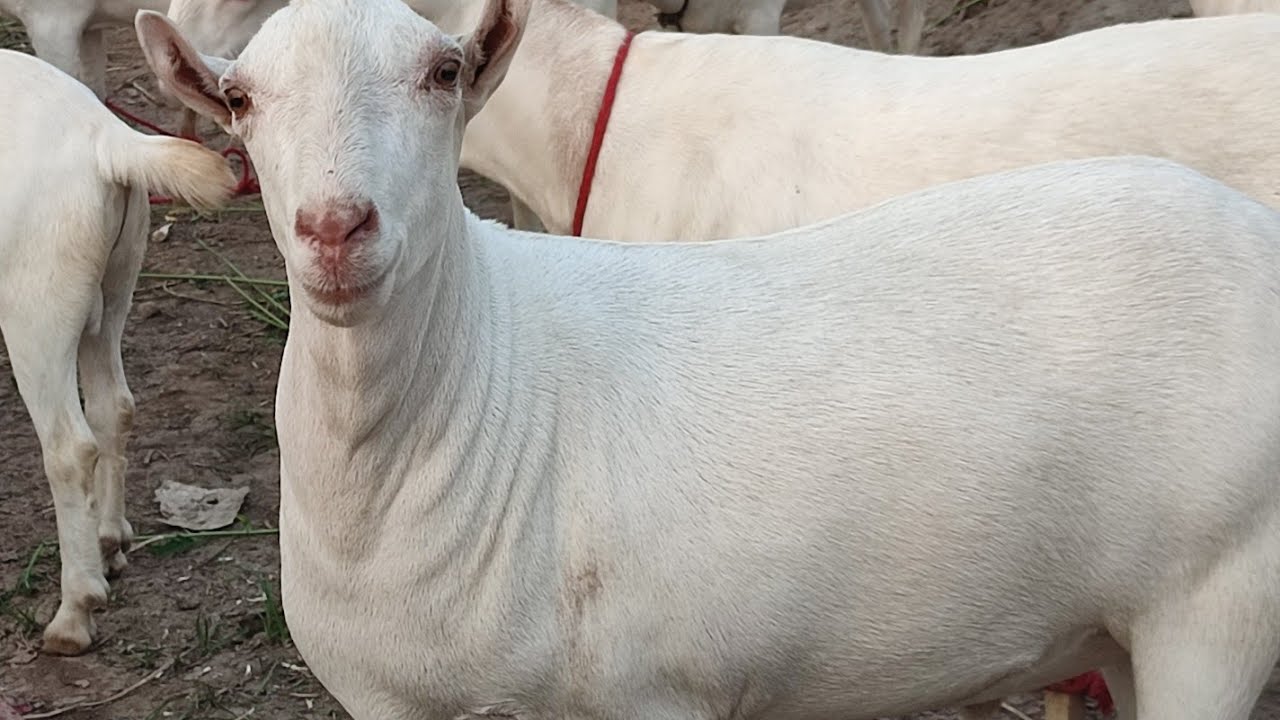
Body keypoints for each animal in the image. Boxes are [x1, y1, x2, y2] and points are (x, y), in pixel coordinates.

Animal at [0, 48, 235, 655]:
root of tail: (104, 138)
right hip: (113, 283)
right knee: (115, 407)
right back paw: (108, 541)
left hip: (35, 307)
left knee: (69, 446)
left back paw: (74, 611)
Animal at [139, 2, 1280, 720]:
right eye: (239, 100)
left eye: (444, 73)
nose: (335, 228)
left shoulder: (653, 689)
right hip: (1120, 626)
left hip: (1215, 600)